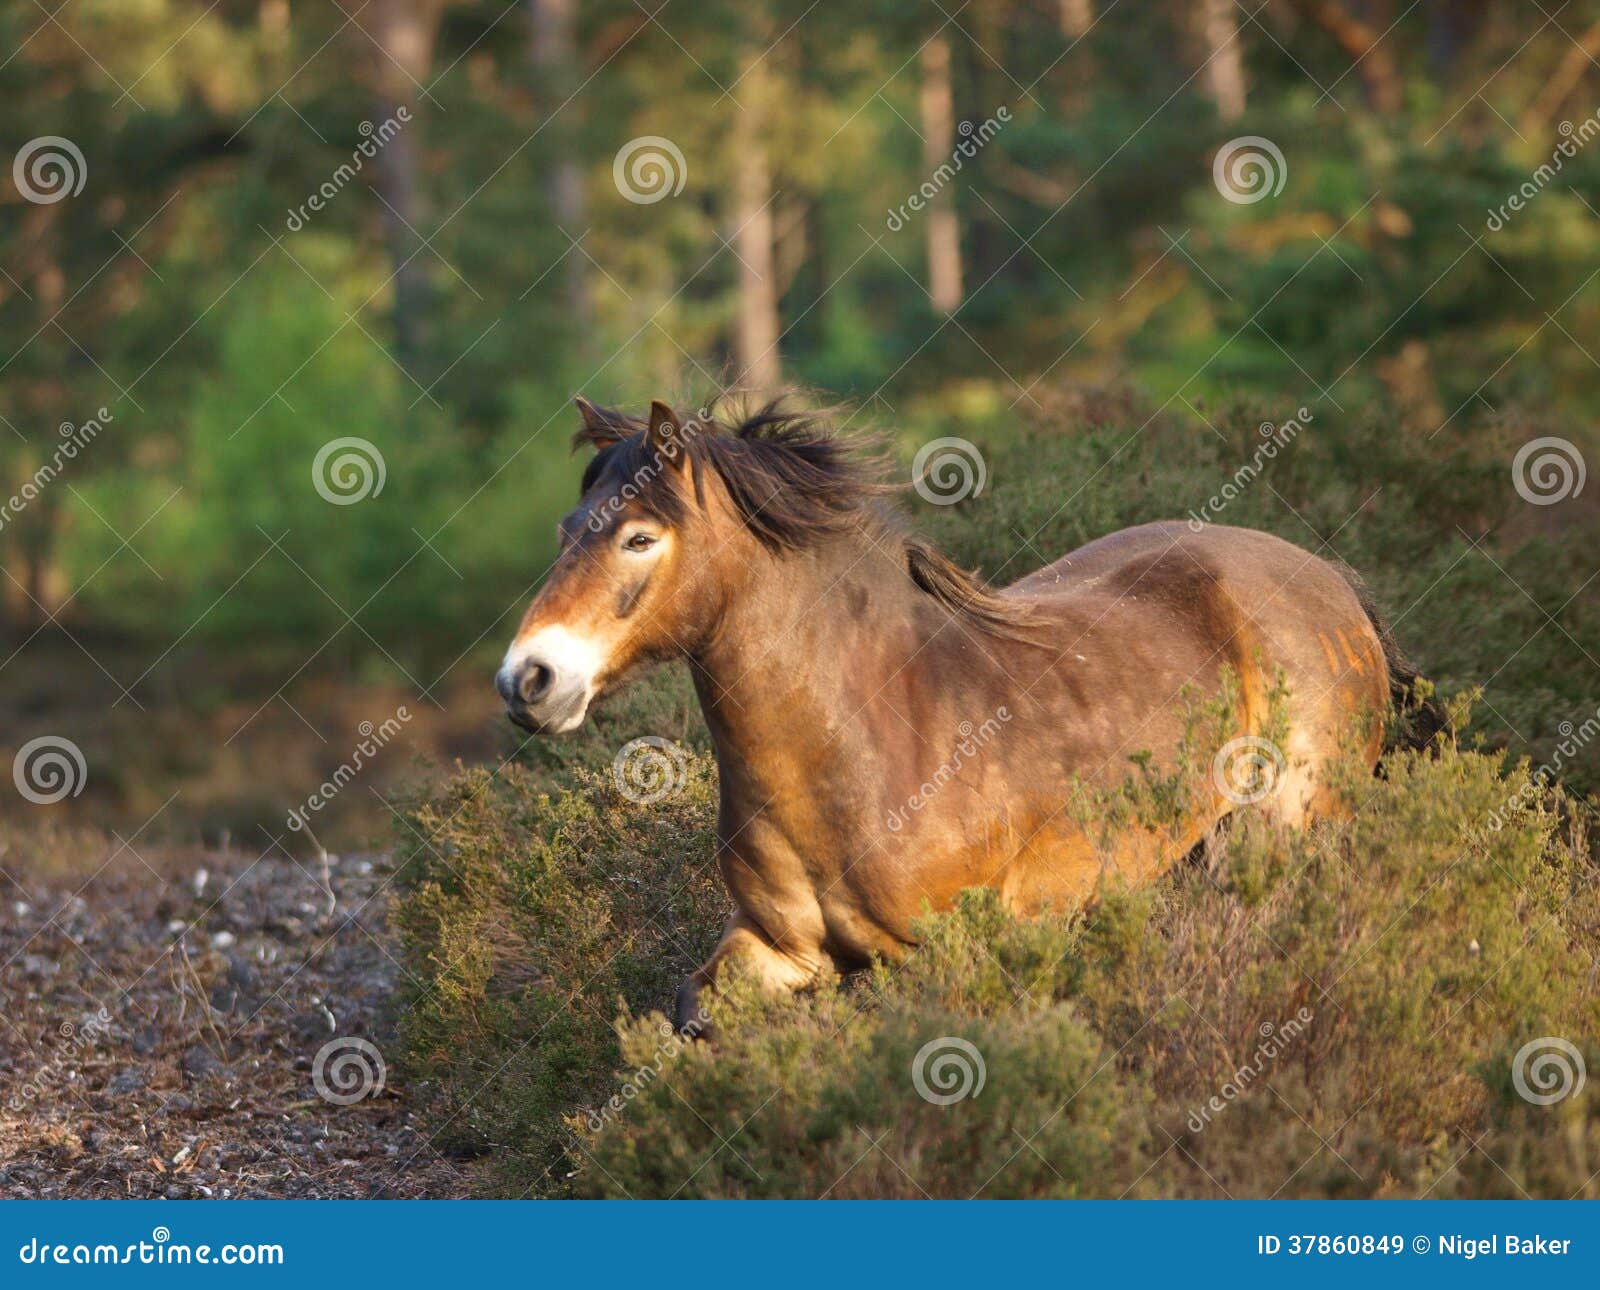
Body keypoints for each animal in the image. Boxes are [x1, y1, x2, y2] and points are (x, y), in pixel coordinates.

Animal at [496, 395, 1439, 1029]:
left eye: (640, 538)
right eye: (568, 529)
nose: (527, 680)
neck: (873, 746)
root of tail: (1328, 577)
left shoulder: (938, 954)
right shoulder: (775, 948)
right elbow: (697, 1008)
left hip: (1290, 833)